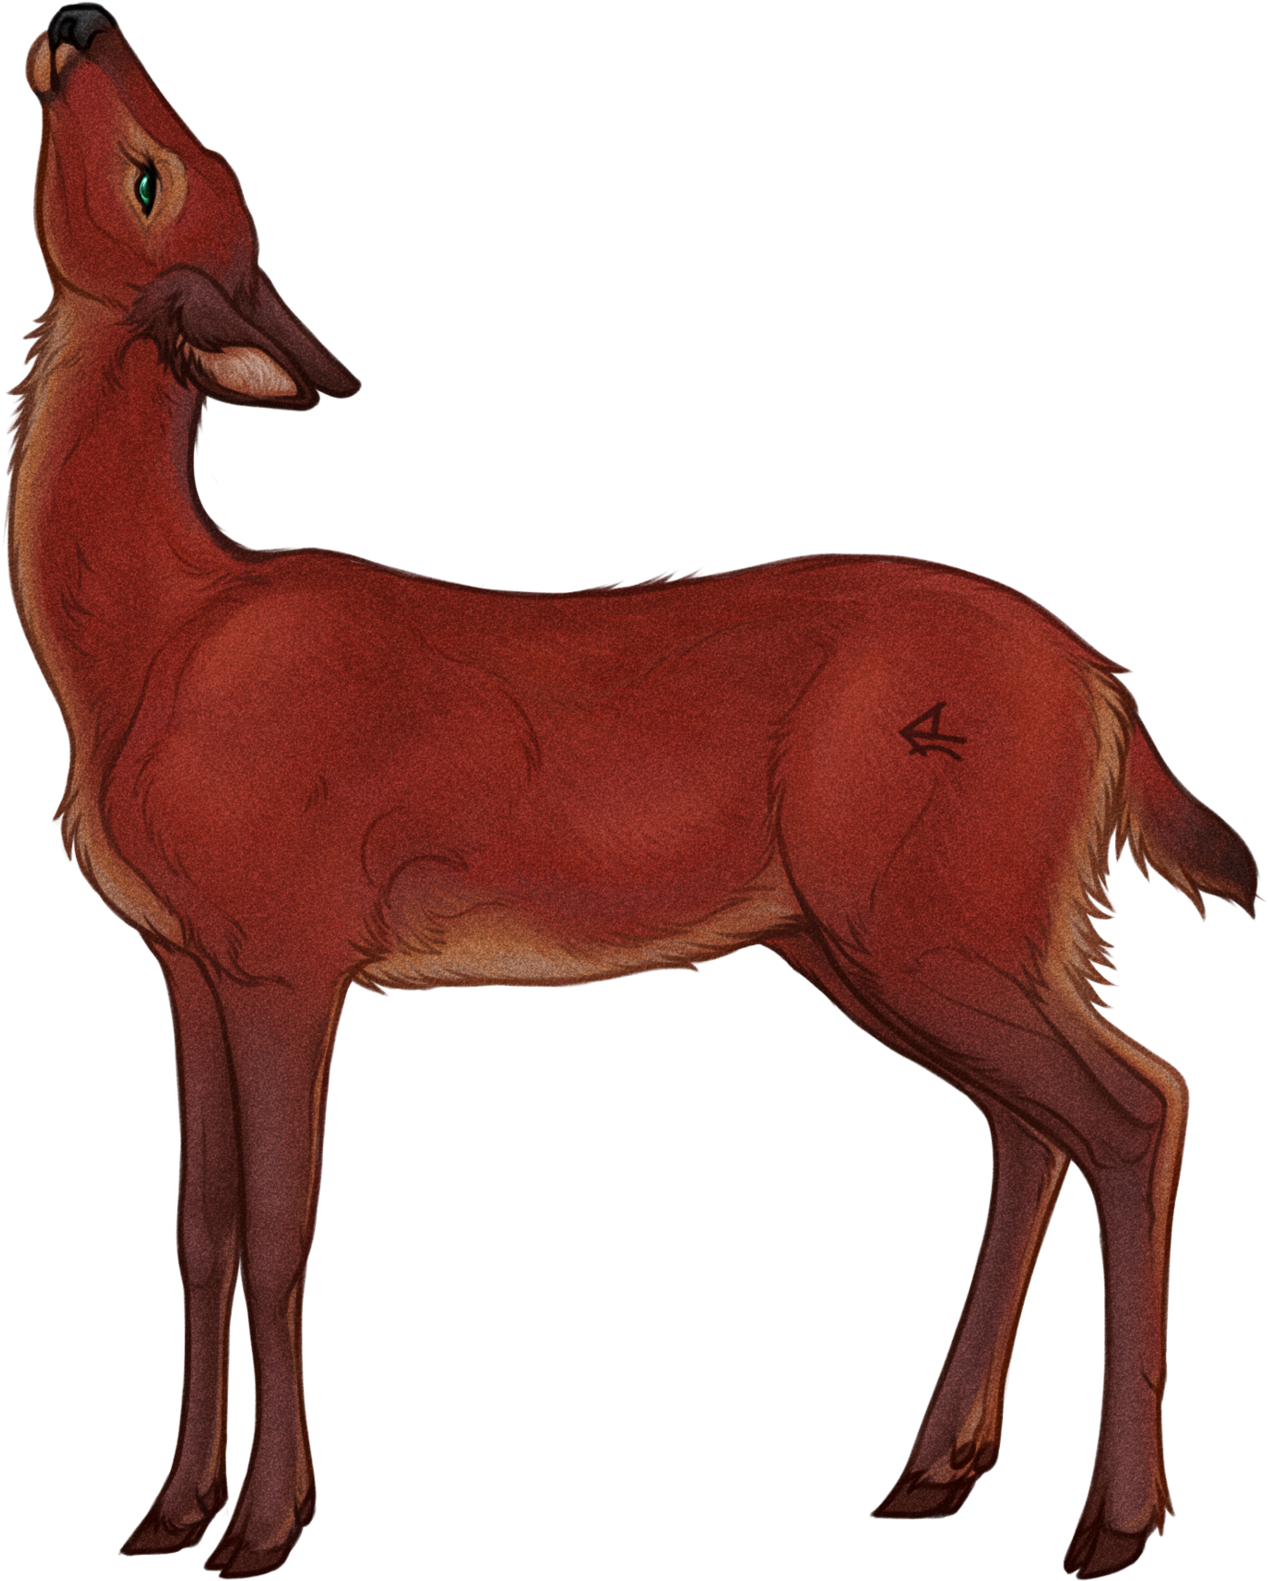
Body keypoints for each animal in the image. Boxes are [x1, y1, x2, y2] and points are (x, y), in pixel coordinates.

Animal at [9, 12, 1259, 1580]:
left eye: (152, 173)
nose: (78, 25)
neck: (159, 640)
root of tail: (1104, 692)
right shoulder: (185, 956)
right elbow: (198, 1229)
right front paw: (169, 1512)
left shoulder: (291, 943)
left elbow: (284, 1230)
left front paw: (263, 1526)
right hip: (872, 931)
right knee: (1033, 1128)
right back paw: (934, 1471)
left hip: (935, 918)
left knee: (1134, 1104)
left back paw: (1115, 1518)